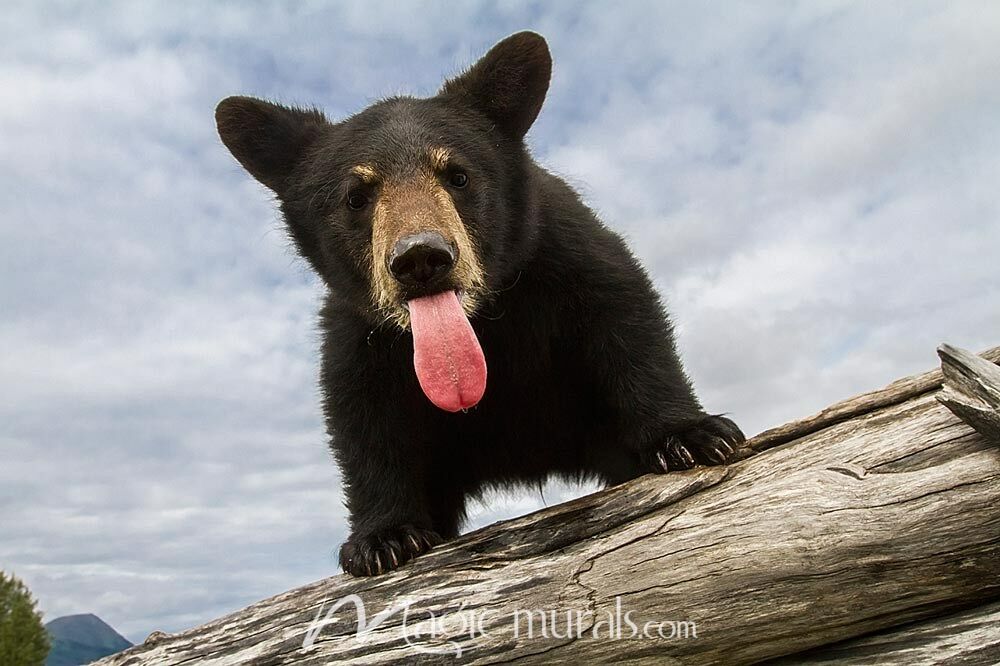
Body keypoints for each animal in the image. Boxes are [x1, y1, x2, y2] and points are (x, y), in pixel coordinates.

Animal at [215, 31, 745, 577]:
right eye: (356, 196)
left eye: (458, 176)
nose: (421, 258)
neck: (484, 322)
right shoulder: (357, 331)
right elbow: (361, 411)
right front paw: (382, 538)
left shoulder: (564, 252)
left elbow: (625, 318)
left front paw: (693, 436)